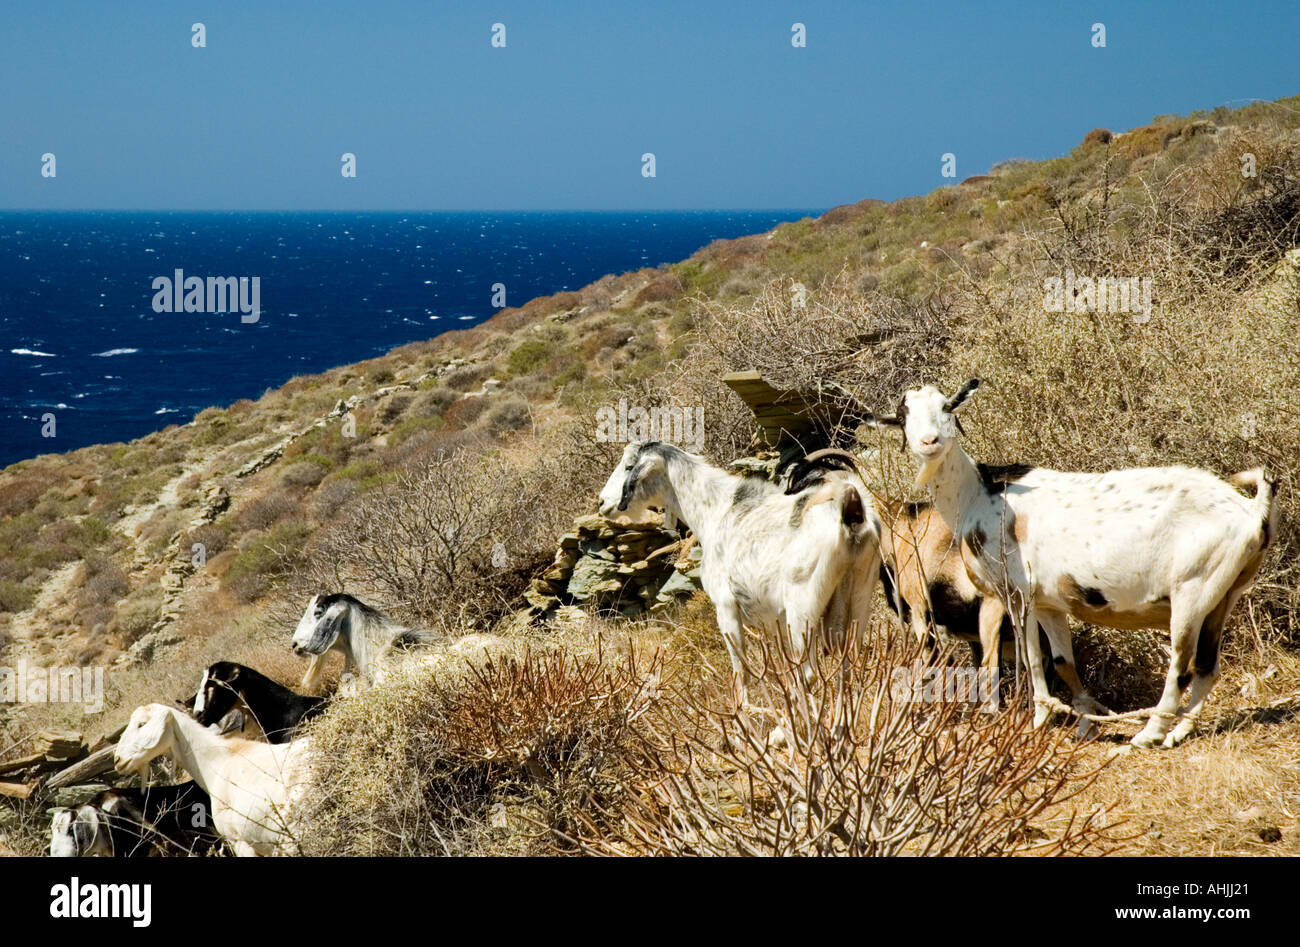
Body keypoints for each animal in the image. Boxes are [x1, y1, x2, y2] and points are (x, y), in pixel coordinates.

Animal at [597, 441, 882, 707]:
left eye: (629, 466)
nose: (602, 503)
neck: (718, 509)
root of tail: (850, 509)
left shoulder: (726, 607)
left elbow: (740, 671)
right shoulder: (776, 622)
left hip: (802, 611)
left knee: (809, 673)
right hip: (856, 600)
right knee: (848, 665)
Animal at [870, 380, 1278, 747]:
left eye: (946, 407)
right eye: (904, 416)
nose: (929, 443)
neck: (980, 494)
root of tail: (1250, 511)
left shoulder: (1016, 597)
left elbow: (1031, 659)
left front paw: (1038, 721)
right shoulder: (1049, 603)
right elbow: (1063, 662)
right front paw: (1083, 724)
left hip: (1191, 595)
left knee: (1181, 668)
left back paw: (1149, 734)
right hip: (1223, 597)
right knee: (1209, 669)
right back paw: (1177, 733)